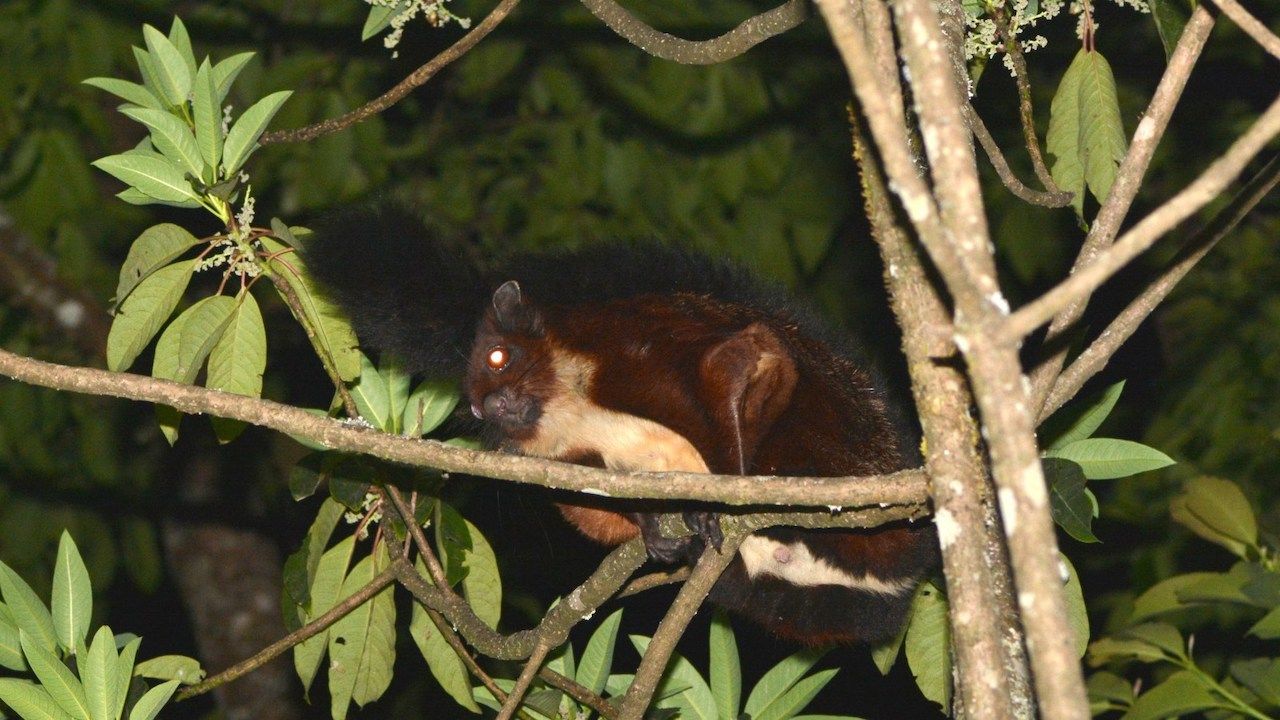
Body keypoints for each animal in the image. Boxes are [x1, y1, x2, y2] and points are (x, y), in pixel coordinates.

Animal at [304, 205, 937, 645]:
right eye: (474, 406)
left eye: (498, 357)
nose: (492, 408)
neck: (573, 409)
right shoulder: (570, 460)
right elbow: (604, 501)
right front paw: (659, 527)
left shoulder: (633, 349)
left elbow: (744, 363)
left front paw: (716, 507)